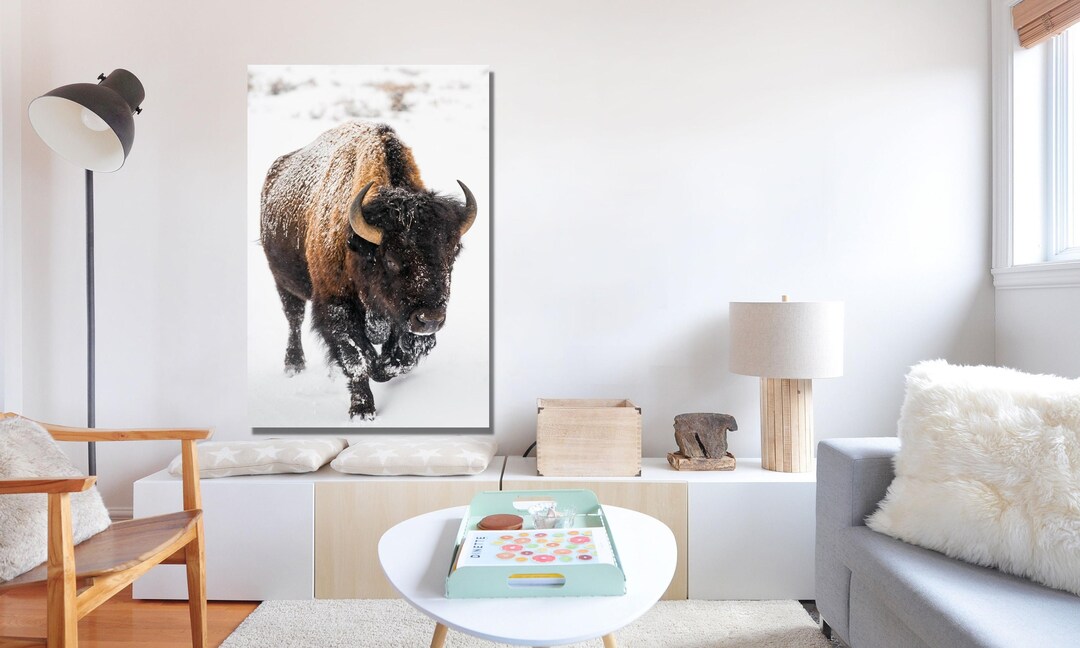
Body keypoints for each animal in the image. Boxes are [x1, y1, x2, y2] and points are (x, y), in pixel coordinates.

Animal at [260, 121, 476, 420]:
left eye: (452, 255)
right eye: (392, 260)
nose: (430, 319)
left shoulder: (402, 319)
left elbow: (400, 358)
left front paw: (383, 368)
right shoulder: (336, 305)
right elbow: (357, 359)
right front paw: (362, 410)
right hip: (284, 282)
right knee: (294, 319)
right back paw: (294, 365)